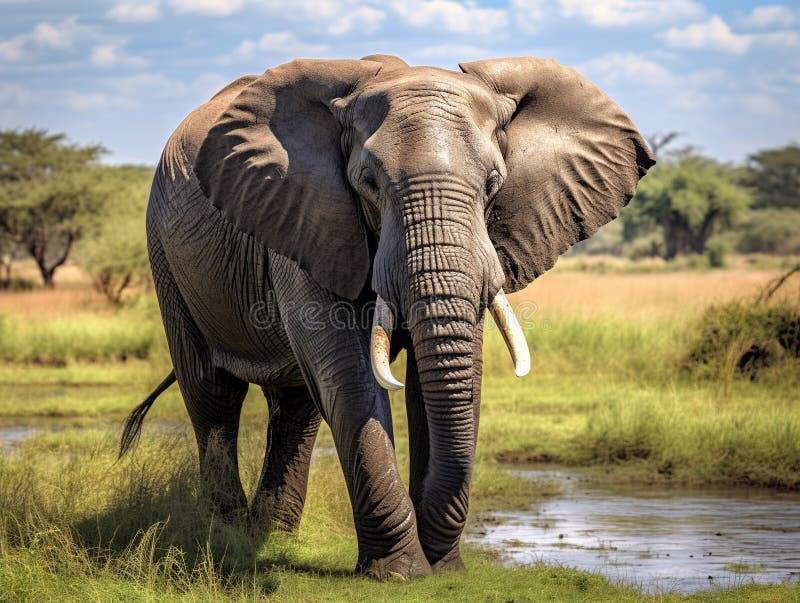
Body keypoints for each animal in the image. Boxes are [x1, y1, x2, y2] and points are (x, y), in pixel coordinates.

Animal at [120, 54, 654, 580]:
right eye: (369, 184)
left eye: (493, 185)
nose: (440, 564)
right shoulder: (306, 215)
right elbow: (351, 376)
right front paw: (402, 572)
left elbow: (442, 380)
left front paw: (440, 567)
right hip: (164, 253)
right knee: (213, 393)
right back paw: (227, 535)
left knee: (296, 406)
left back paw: (271, 537)